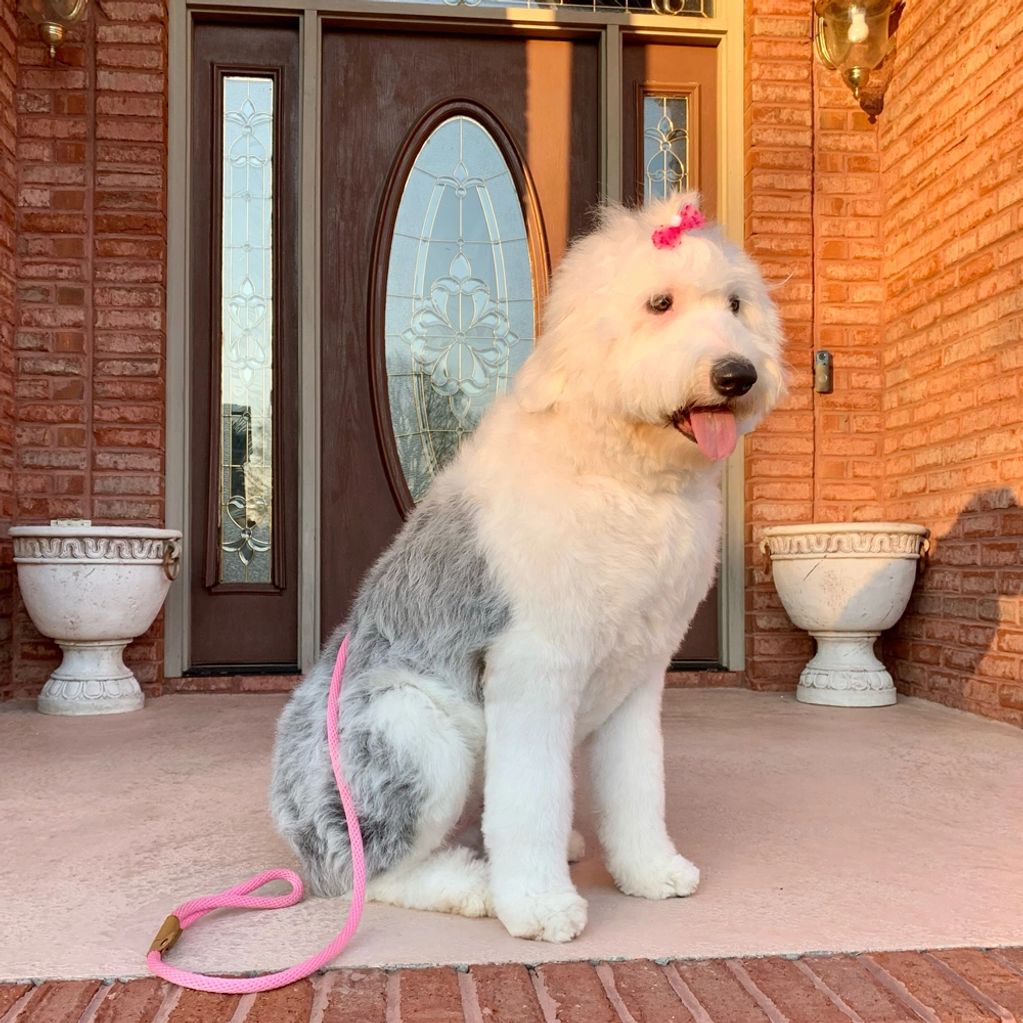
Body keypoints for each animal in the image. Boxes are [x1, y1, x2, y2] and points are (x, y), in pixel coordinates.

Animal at [270, 193, 781, 941]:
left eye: (736, 303)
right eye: (659, 303)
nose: (735, 374)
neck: (621, 472)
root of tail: (286, 815)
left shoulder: (640, 675)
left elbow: (637, 783)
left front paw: (651, 871)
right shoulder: (533, 667)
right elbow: (531, 797)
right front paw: (541, 906)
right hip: (405, 726)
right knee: (374, 870)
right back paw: (476, 886)